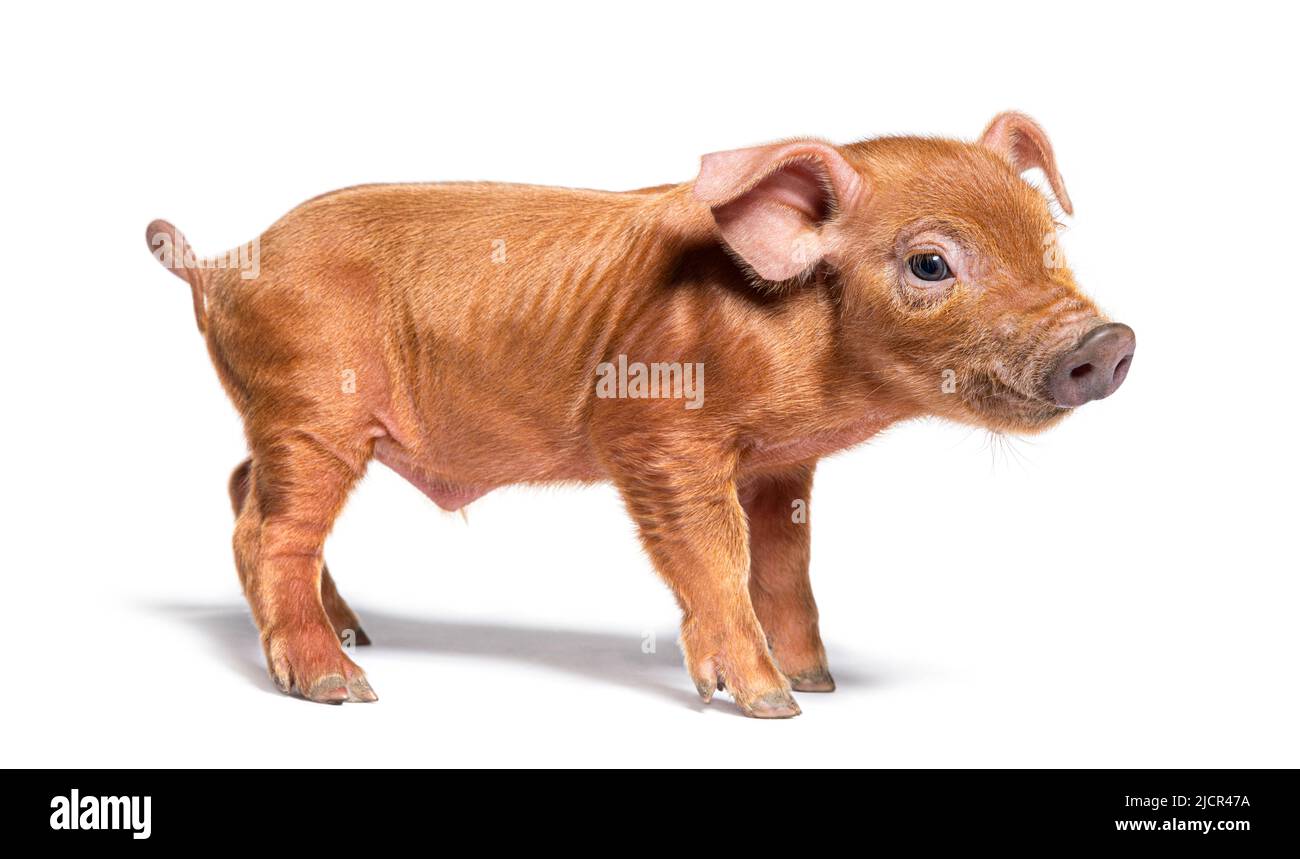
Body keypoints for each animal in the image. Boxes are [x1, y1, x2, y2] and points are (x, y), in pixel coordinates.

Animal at [146, 112, 1134, 717]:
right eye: (930, 263)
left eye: (1048, 243)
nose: (1108, 339)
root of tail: (225, 264)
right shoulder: (654, 432)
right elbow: (717, 554)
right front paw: (771, 704)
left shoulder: (782, 462)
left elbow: (786, 563)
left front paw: (820, 682)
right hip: (313, 406)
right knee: (268, 530)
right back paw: (342, 683)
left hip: (289, 415)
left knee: (242, 486)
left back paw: (360, 634)